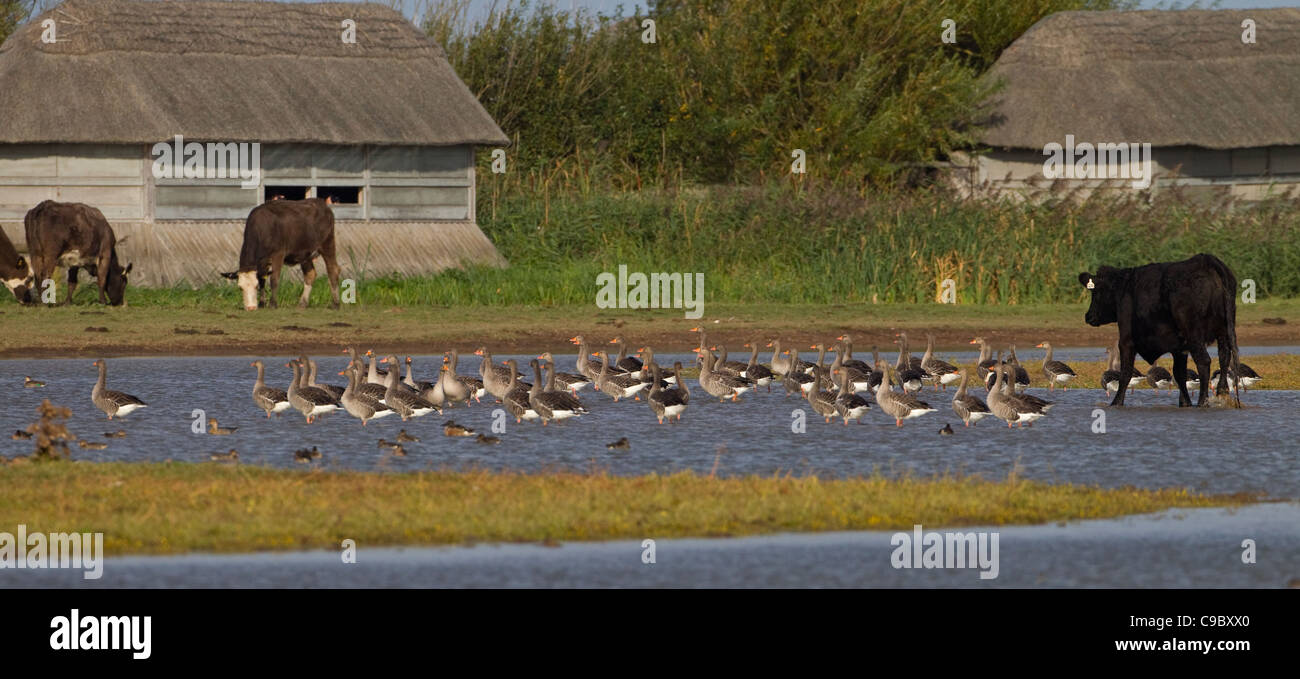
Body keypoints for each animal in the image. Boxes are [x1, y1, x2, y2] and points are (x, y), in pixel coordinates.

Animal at [1078, 253, 1241, 407]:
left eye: (1095, 292)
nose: (1088, 315)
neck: (1123, 289)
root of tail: (1206, 261)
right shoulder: (1179, 347)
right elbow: (1179, 374)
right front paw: (1185, 402)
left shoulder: (1126, 339)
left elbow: (1125, 372)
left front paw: (1116, 402)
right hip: (1223, 330)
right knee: (1224, 357)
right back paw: (1222, 392)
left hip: (1195, 334)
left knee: (1204, 361)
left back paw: (1203, 401)